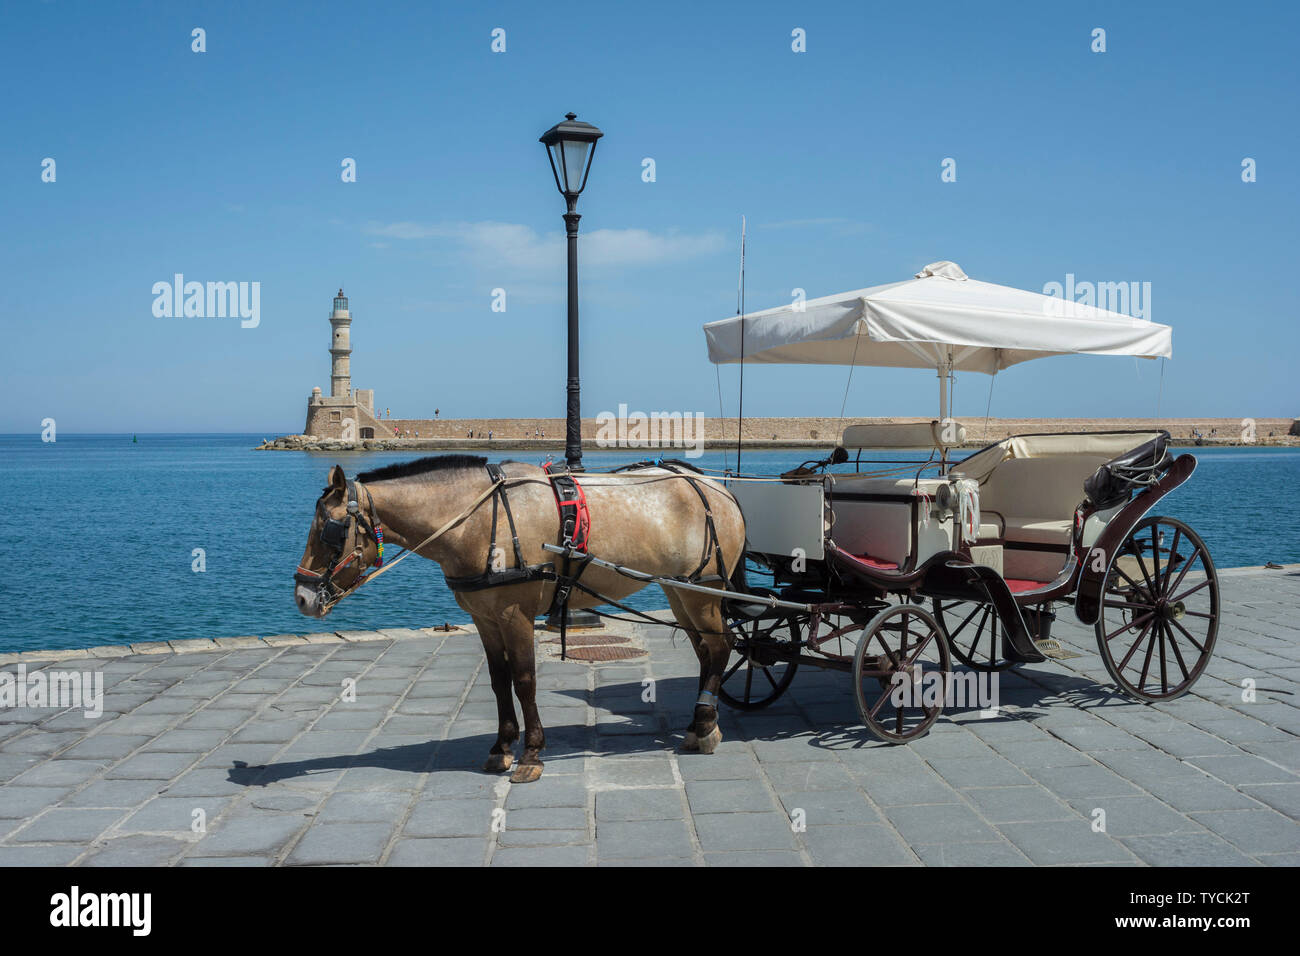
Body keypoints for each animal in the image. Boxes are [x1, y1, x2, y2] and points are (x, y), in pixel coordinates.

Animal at [292, 455, 746, 783]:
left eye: (331, 530)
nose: (302, 597)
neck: (479, 519)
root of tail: (716, 488)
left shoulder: (515, 615)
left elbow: (525, 680)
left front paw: (531, 753)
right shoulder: (485, 619)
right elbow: (499, 680)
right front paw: (501, 748)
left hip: (702, 590)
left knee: (721, 645)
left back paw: (706, 725)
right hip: (681, 590)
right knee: (706, 650)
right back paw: (698, 723)